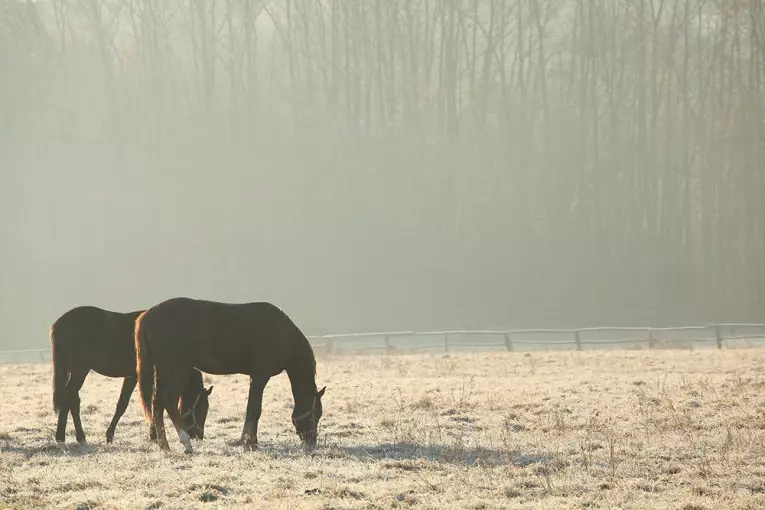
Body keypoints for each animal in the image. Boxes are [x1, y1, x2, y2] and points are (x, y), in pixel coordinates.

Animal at [50, 304, 212, 444]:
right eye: (202, 408)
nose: (198, 436)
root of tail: (57, 325)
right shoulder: (139, 376)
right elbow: (128, 404)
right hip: (80, 370)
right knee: (68, 397)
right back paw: (61, 437)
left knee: (73, 400)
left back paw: (79, 437)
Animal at [135, 298, 326, 454]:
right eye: (315, 415)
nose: (311, 442)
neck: (283, 334)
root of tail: (148, 315)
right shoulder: (260, 375)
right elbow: (254, 409)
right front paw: (248, 442)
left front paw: (252, 442)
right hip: (176, 370)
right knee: (168, 401)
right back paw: (186, 443)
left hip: (164, 371)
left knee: (157, 404)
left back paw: (164, 446)